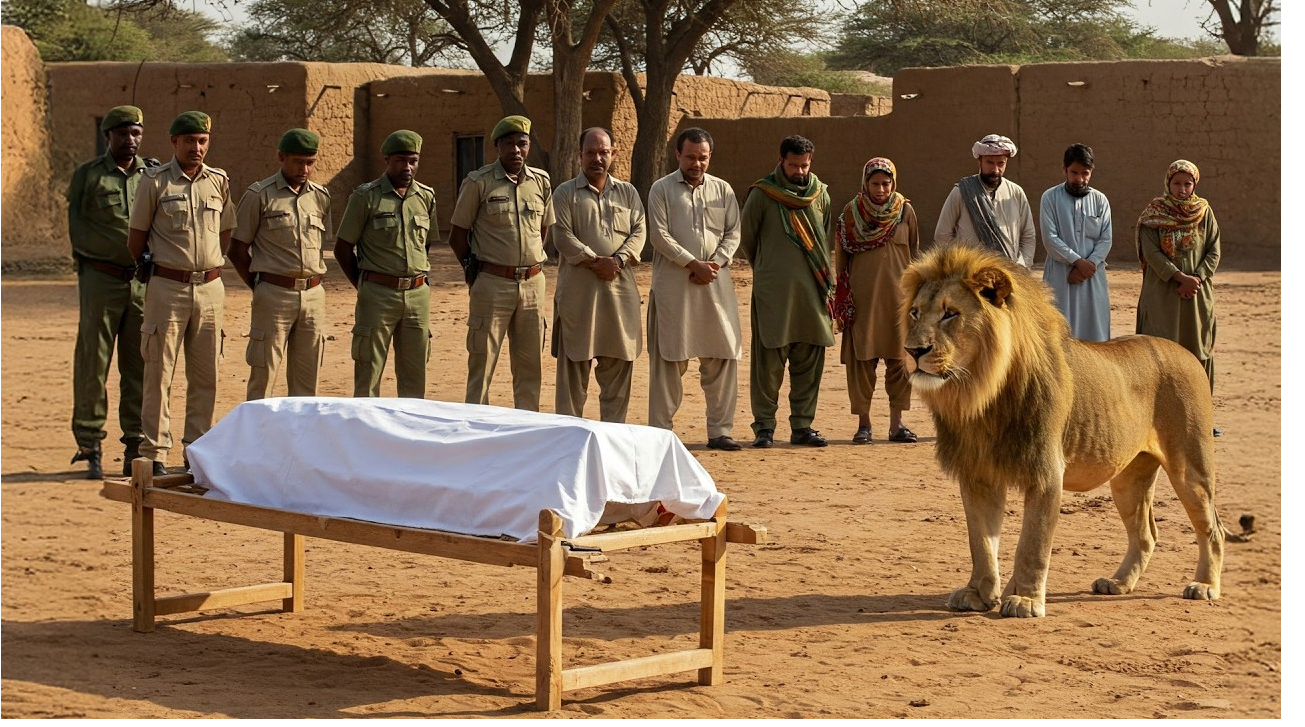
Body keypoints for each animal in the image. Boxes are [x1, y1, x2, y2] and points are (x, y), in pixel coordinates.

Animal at [901, 244, 1240, 618]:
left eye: (950, 314)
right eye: (915, 312)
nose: (912, 351)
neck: (981, 393)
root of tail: (1185, 352)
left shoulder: (1047, 473)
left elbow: (1032, 545)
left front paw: (1025, 600)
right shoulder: (977, 474)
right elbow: (981, 541)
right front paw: (978, 593)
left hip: (1189, 467)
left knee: (1213, 528)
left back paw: (1205, 586)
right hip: (1128, 478)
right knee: (1146, 534)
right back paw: (1118, 583)